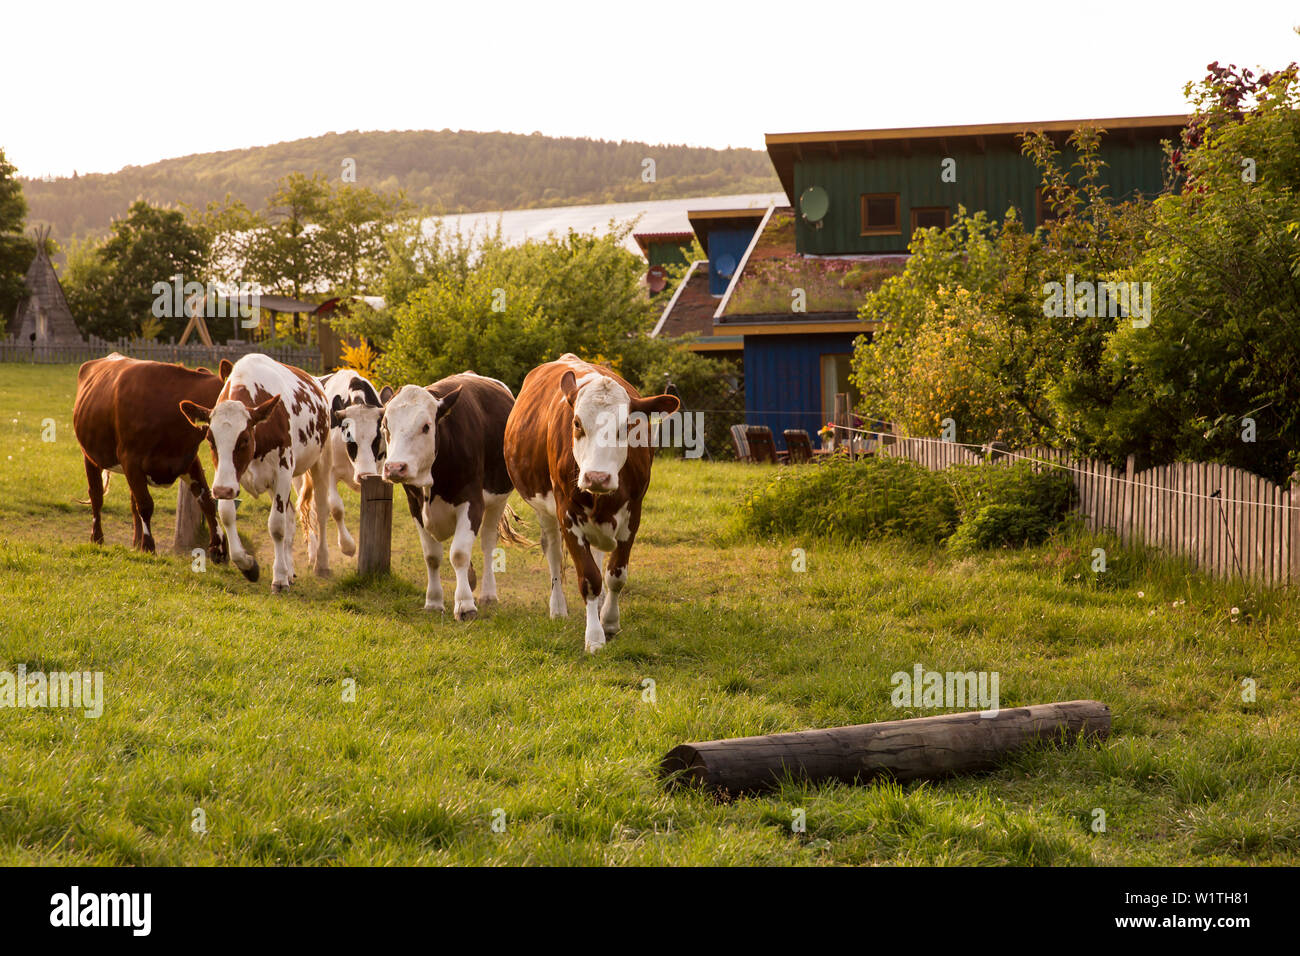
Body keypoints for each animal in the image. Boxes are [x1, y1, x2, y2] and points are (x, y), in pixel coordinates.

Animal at [73, 353, 230, 561]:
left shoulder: (188, 460)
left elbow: (207, 501)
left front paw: (219, 548)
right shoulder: (131, 460)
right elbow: (146, 505)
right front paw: (148, 547)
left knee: (132, 502)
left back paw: (136, 541)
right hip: (90, 456)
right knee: (97, 496)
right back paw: (97, 538)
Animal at [177, 352, 333, 592]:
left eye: (244, 439)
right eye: (210, 440)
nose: (221, 490)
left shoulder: (282, 472)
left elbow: (276, 526)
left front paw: (279, 579)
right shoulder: (229, 477)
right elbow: (227, 514)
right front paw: (248, 565)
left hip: (320, 463)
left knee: (321, 511)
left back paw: (321, 563)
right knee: (290, 517)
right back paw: (289, 569)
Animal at [294, 369, 394, 560]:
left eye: (378, 437)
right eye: (349, 437)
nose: (364, 475)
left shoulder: (378, 468)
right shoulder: (330, 473)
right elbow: (336, 508)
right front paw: (348, 546)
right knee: (309, 508)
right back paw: (313, 550)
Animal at [380, 372, 520, 621]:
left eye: (426, 426)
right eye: (385, 425)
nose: (395, 467)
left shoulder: (472, 502)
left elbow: (459, 553)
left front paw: (465, 605)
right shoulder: (415, 507)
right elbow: (432, 556)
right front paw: (434, 601)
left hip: (498, 499)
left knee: (487, 543)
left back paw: (488, 594)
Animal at [503, 354, 679, 653]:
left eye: (627, 426)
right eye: (576, 423)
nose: (597, 476)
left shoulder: (633, 513)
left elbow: (615, 575)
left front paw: (609, 621)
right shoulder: (567, 514)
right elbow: (589, 578)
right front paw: (594, 637)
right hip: (545, 511)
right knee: (553, 552)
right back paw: (558, 608)